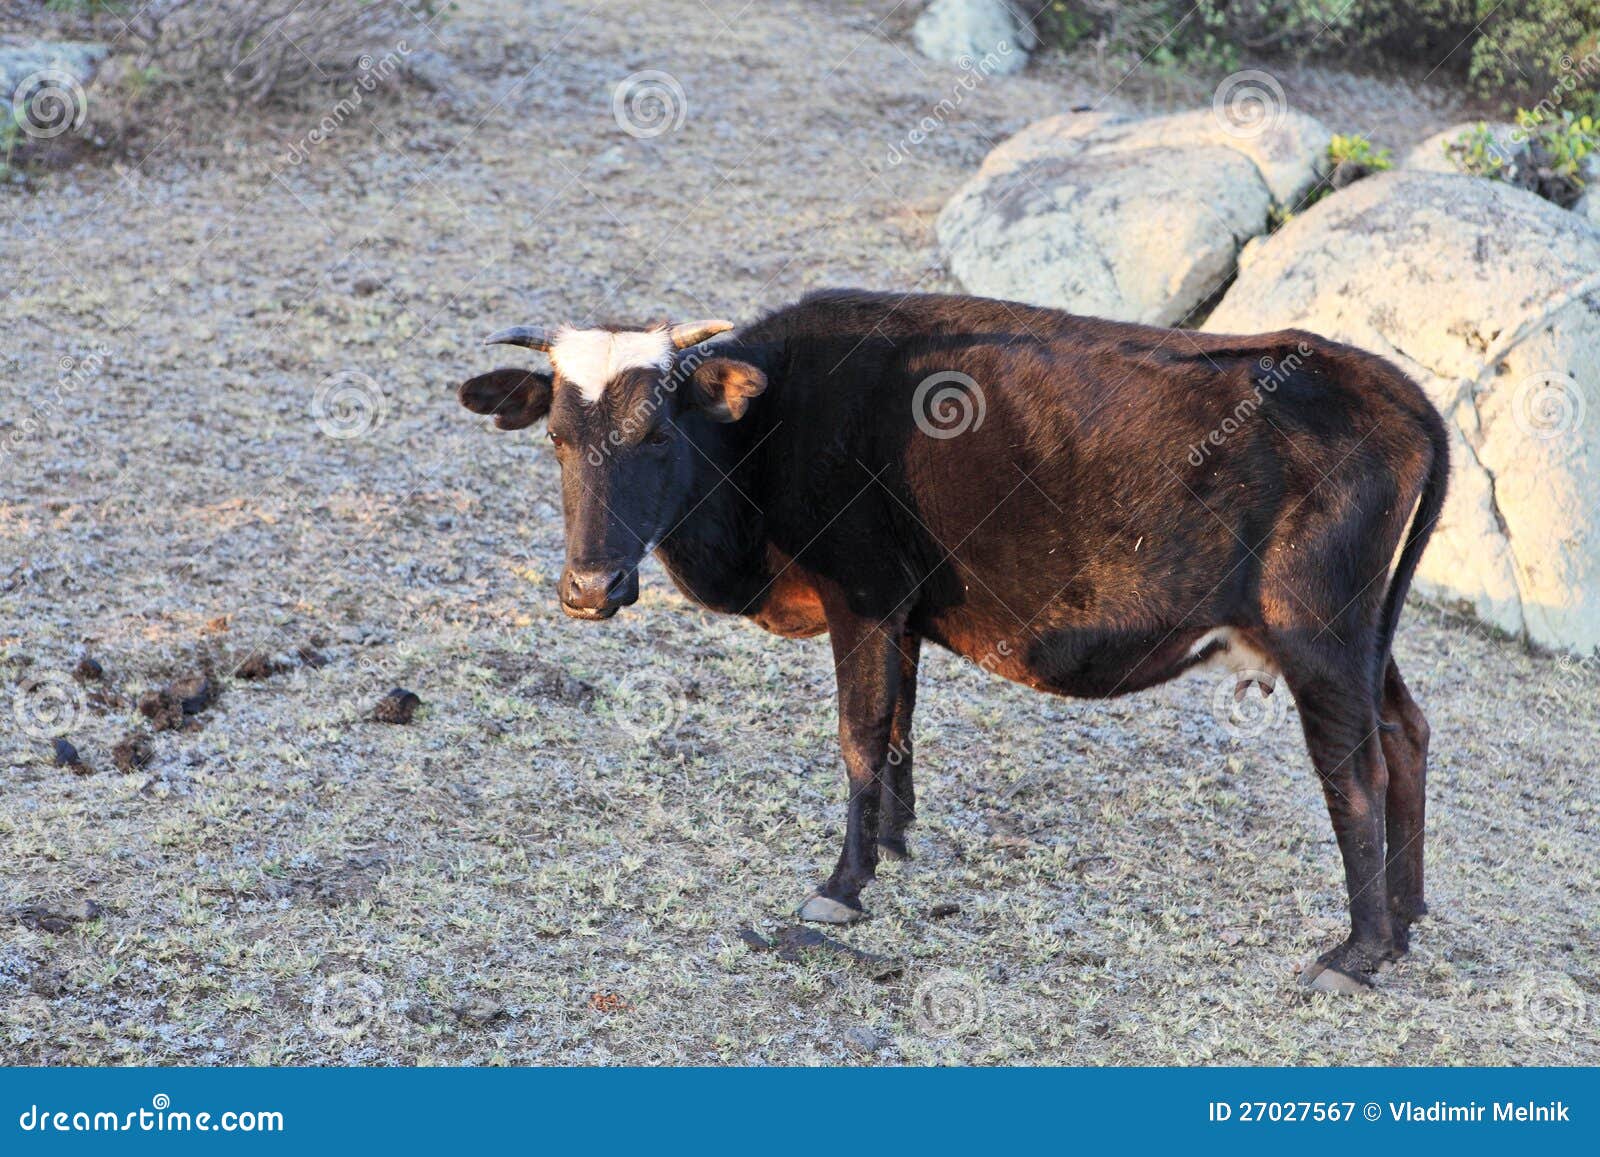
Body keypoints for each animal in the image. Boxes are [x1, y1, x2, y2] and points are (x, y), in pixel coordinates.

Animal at [457, 289, 1449, 994]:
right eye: (557, 437)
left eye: (656, 431)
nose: (590, 589)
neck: (770, 432)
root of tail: (1395, 390)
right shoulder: (902, 611)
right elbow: (898, 726)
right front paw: (895, 844)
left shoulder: (862, 597)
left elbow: (860, 736)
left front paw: (843, 884)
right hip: (1365, 640)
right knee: (1407, 734)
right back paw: (1406, 916)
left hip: (1318, 635)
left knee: (1356, 770)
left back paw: (1358, 950)